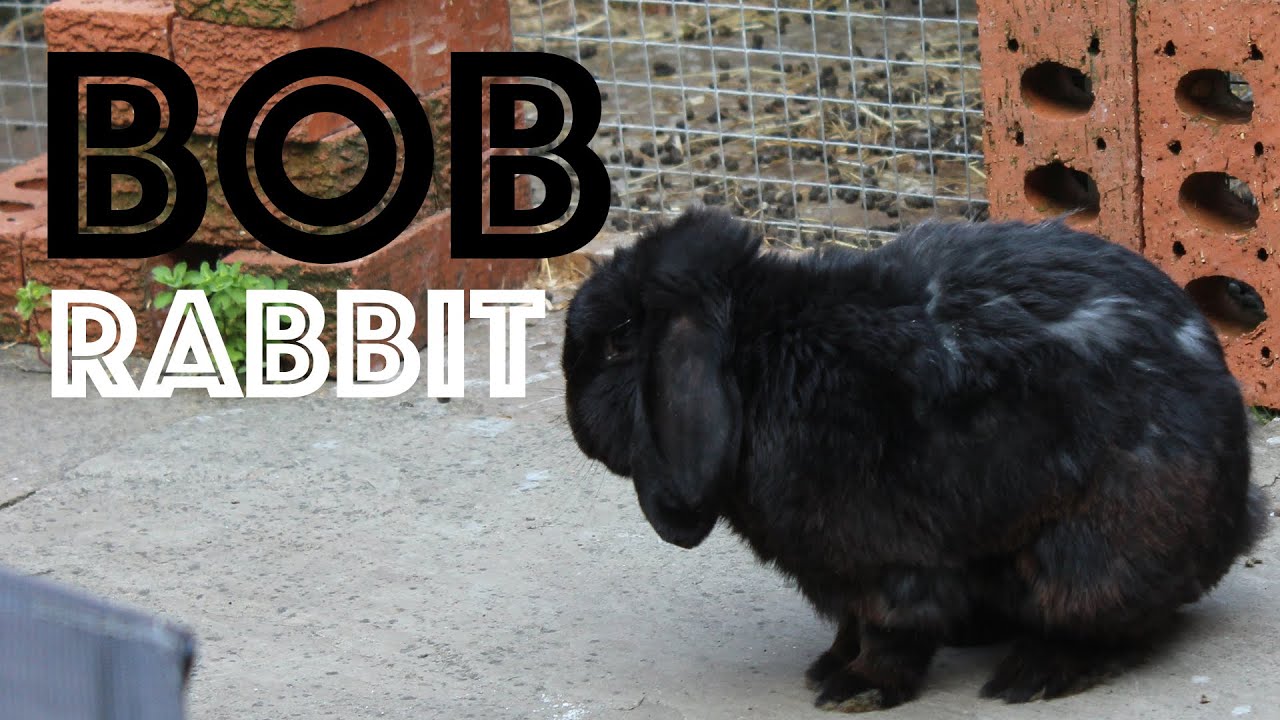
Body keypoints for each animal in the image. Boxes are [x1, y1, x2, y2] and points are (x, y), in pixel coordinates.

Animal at [560, 206, 1270, 713]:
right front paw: (827, 666)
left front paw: (856, 690)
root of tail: (1238, 513)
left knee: (1110, 621)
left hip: (1087, 550)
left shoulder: (885, 561)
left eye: (621, 341)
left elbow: (887, 632)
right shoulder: (838, 568)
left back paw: (1034, 674)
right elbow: (849, 627)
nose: (575, 421)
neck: (757, 358)